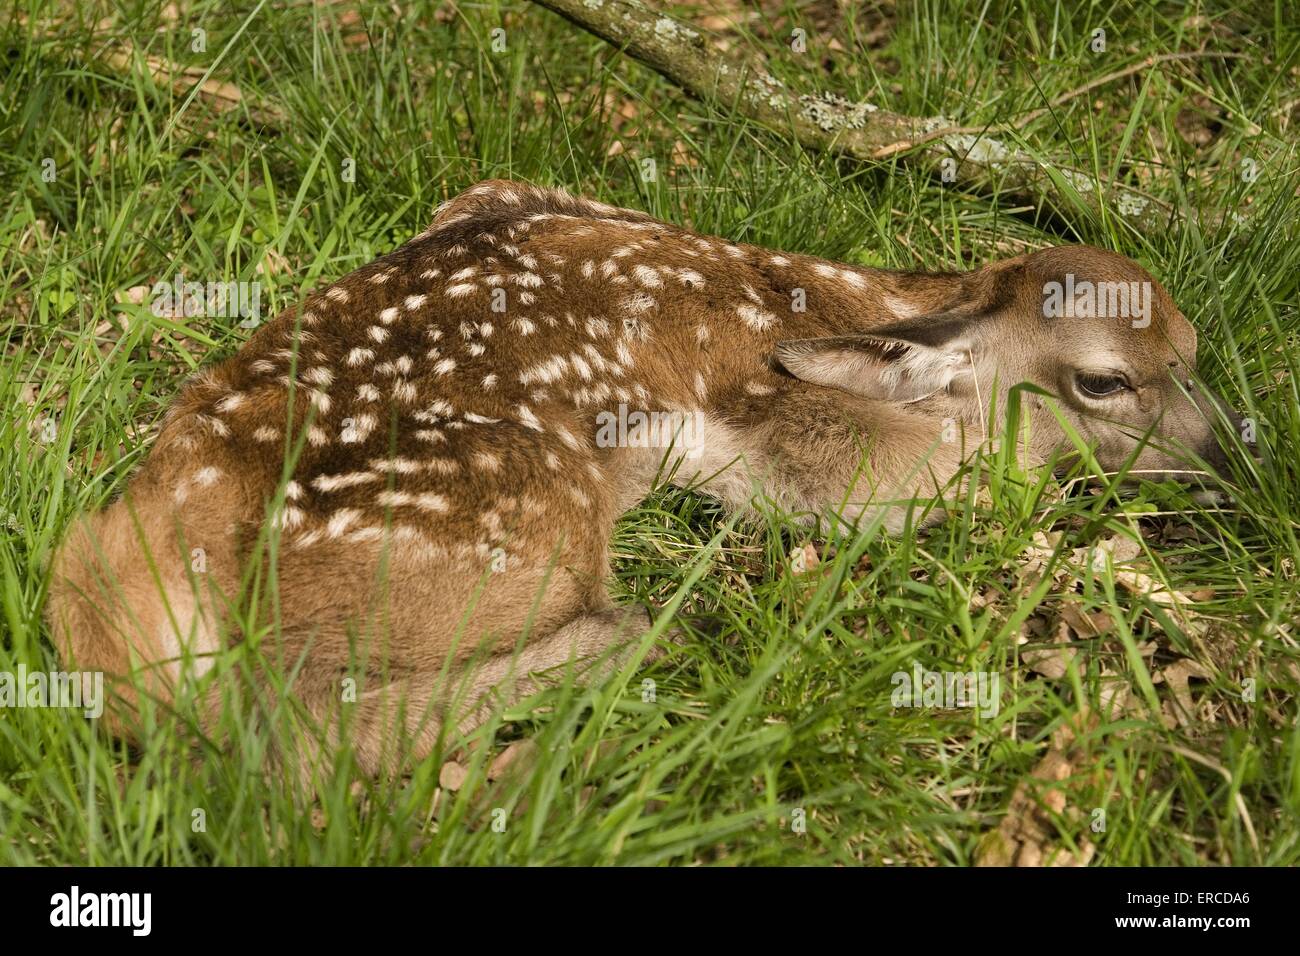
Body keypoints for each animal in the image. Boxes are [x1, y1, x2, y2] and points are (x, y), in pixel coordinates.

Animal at [47, 179, 1239, 779]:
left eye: (1196, 348)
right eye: (1105, 380)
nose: (1239, 461)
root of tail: (170, 522)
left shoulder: (498, 188)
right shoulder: (784, 446)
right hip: (522, 517)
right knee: (281, 727)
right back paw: (632, 638)